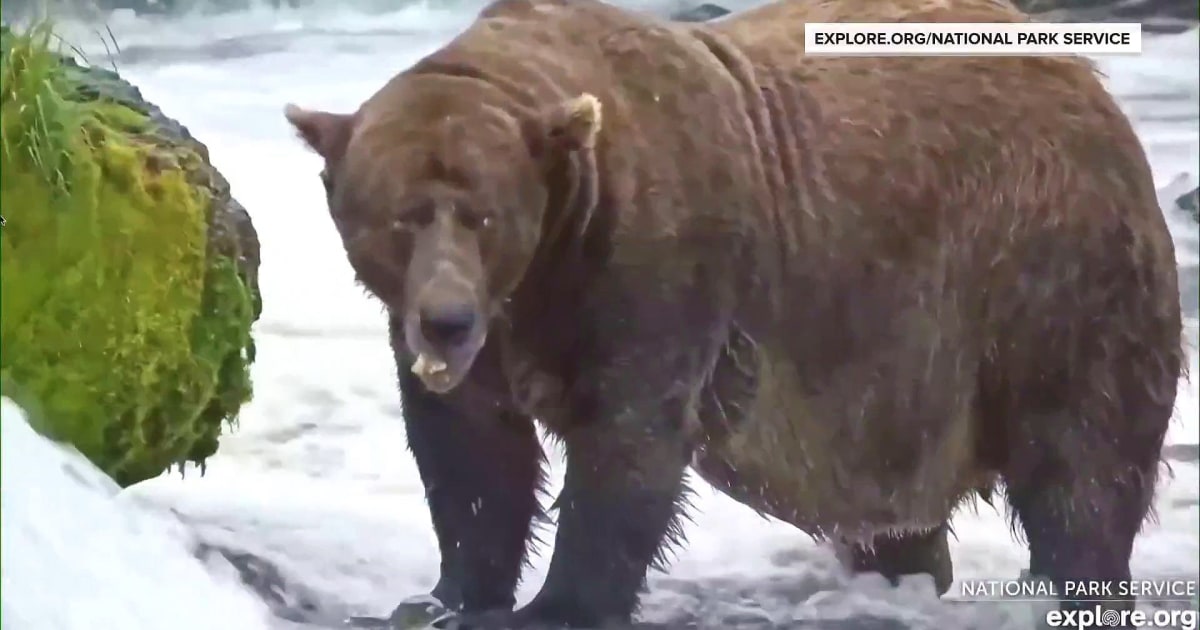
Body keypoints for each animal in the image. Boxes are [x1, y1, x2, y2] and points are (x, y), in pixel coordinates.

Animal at [284, 0, 1185, 627]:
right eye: (400, 218)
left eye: (483, 216)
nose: (446, 319)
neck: (543, 275)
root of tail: (1082, 74)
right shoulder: (486, 340)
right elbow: (473, 459)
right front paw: (443, 595)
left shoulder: (653, 271)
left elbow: (628, 449)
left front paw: (559, 604)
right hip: (896, 382)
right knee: (896, 509)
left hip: (1040, 272)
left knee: (1081, 464)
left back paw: (1081, 582)